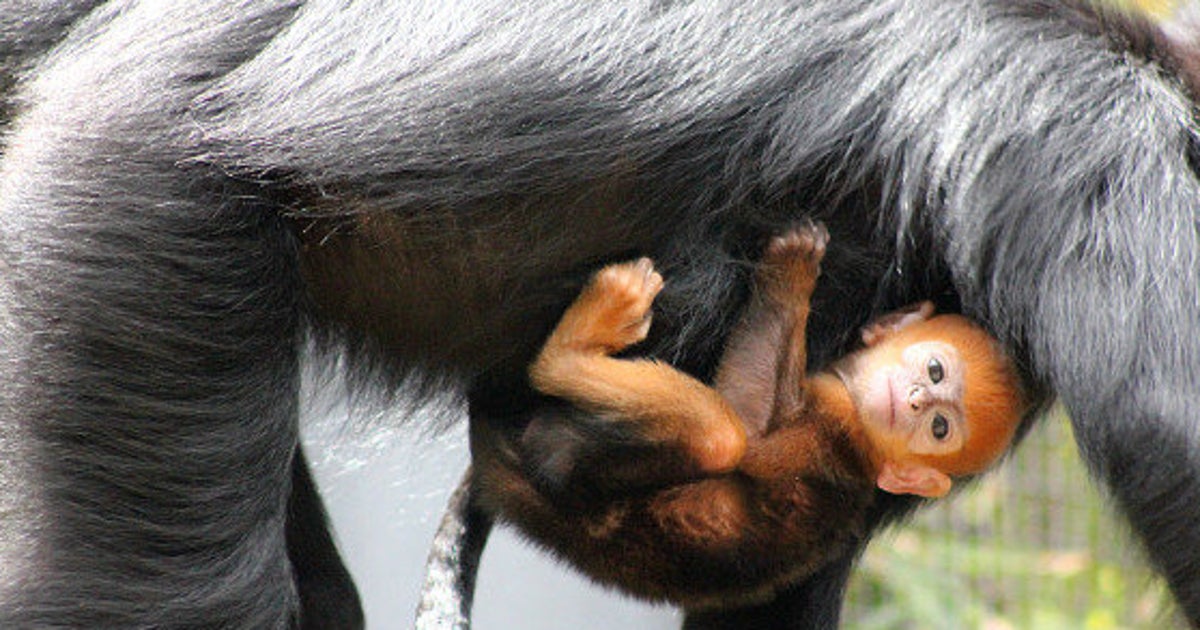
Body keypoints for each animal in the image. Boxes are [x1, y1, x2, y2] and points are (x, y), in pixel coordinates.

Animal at [470, 224, 1028, 610]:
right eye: (935, 371)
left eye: (939, 428)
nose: (914, 400)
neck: (866, 444)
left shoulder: (832, 424)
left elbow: (749, 420)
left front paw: (793, 274)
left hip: (566, 466)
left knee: (719, 435)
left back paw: (579, 339)